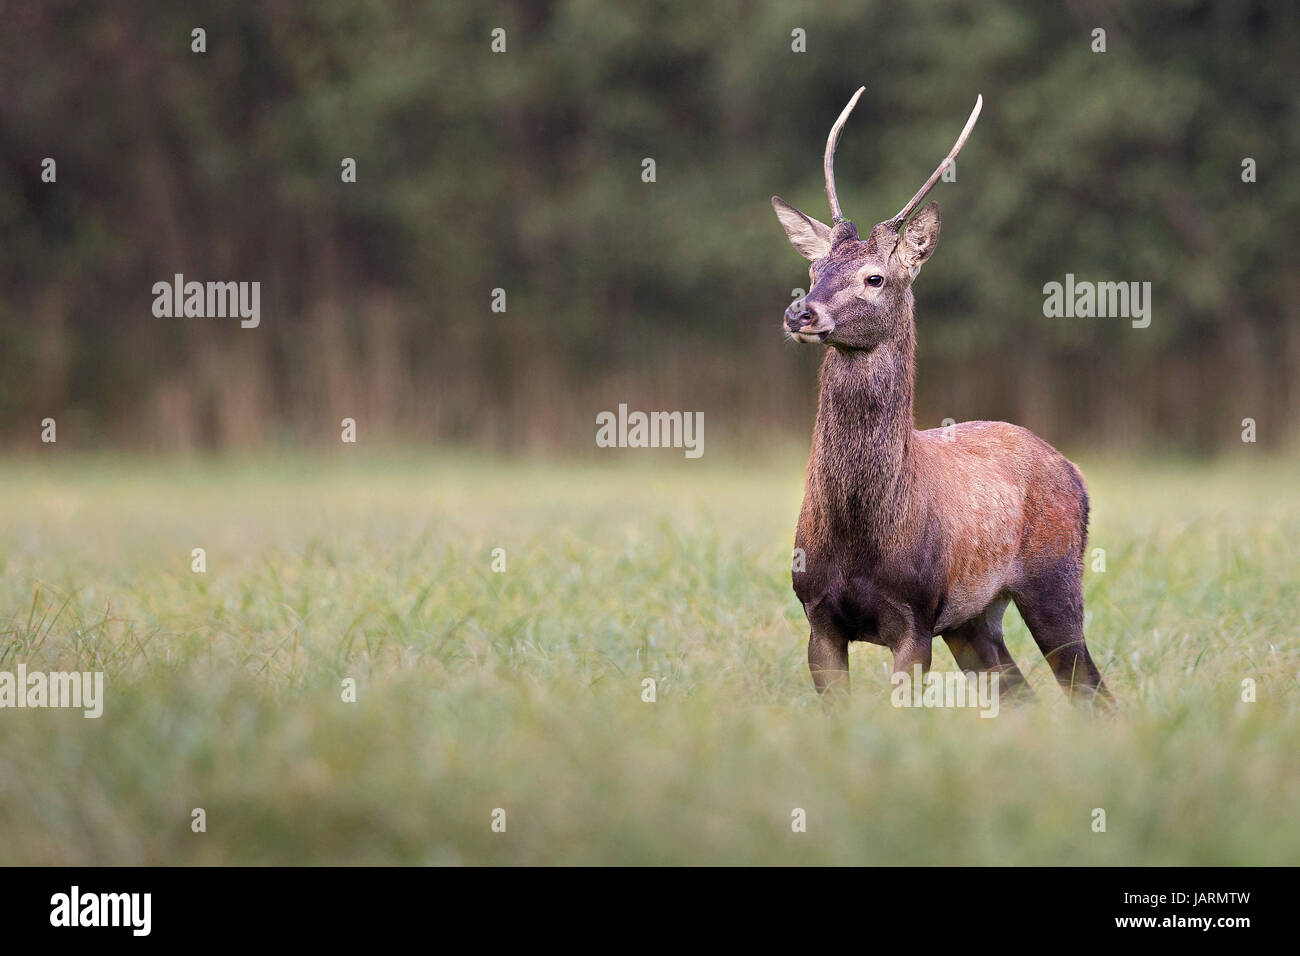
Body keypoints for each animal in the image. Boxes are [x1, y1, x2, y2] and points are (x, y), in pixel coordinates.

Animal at [772, 88, 1111, 706]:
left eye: (876, 277)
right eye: (813, 268)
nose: (800, 312)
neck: (862, 535)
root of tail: (1072, 470)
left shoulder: (916, 614)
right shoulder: (817, 616)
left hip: (1052, 577)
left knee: (1091, 690)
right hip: (974, 618)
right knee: (1020, 690)